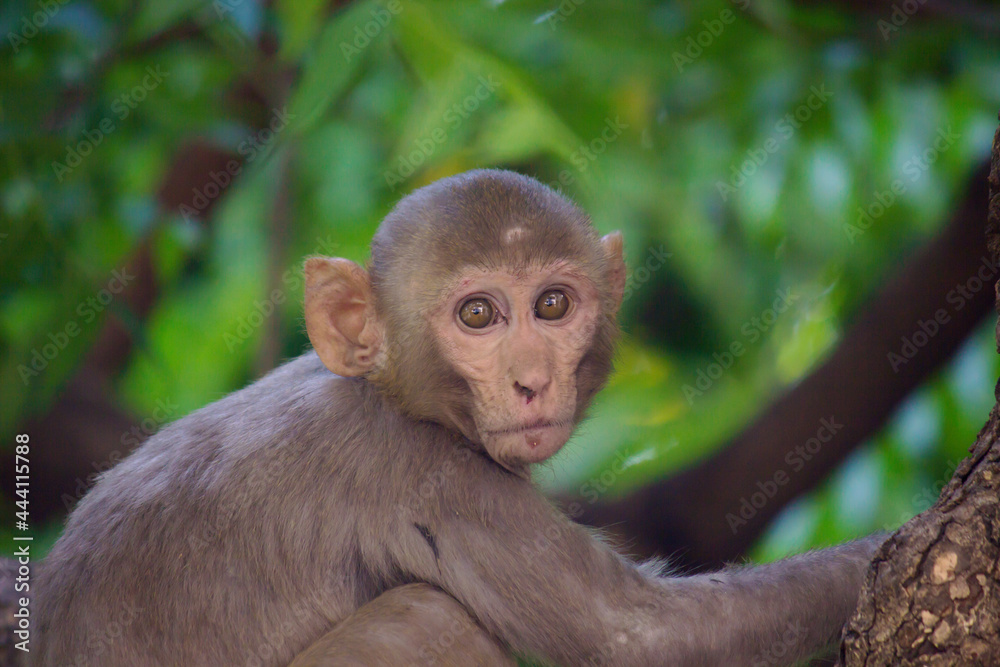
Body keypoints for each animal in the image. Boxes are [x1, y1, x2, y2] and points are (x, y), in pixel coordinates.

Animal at [31, 169, 882, 666]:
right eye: (479, 315)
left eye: (552, 305)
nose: (532, 380)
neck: (384, 390)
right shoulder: (424, 475)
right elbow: (642, 636)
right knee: (431, 615)